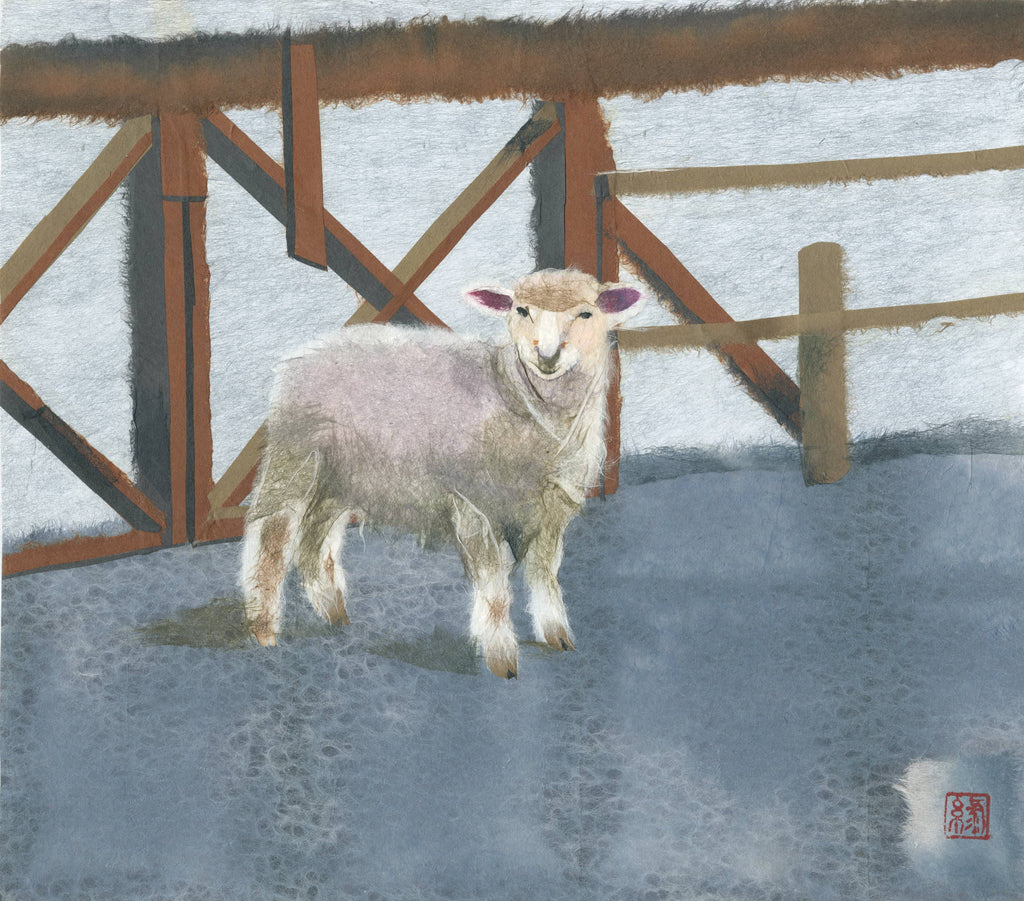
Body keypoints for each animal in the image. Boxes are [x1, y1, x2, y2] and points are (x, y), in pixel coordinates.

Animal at [241, 268, 644, 678]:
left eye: (586, 314)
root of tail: (305, 352)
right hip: (296, 457)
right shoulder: (475, 503)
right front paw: (501, 658)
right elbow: (495, 590)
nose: (546, 355)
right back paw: (264, 628)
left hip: (342, 476)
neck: (516, 395)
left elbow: (545, 574)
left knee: (314, 540)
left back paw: (332, 611)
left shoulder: (551, 509)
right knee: (271, 538)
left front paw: (557, 635)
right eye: (521, 310)